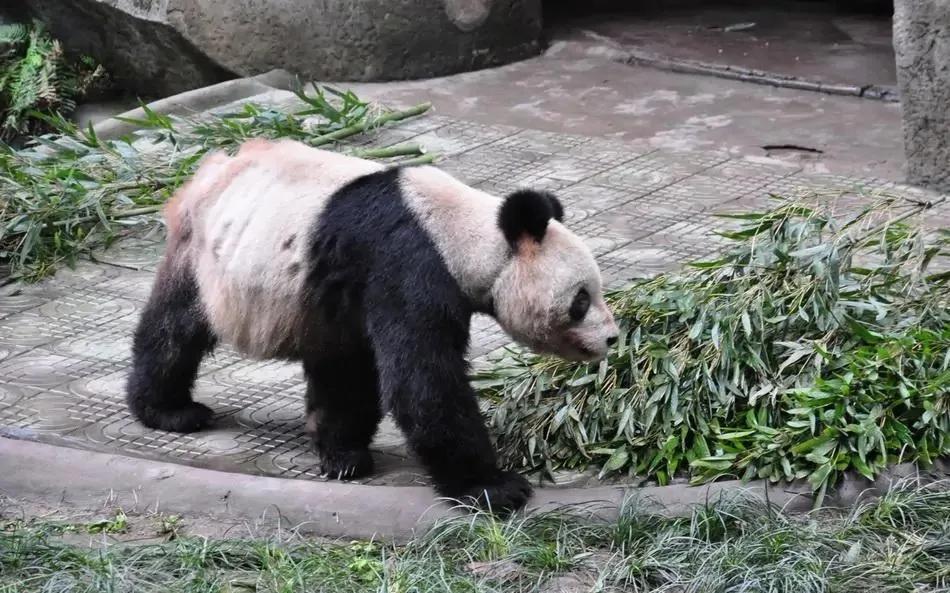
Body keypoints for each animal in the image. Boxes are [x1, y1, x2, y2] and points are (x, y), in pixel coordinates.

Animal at [126, 138, 619, 513]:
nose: (612, 338)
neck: (469, 233)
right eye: (580, 300)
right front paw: (494, 487)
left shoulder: (358, 290)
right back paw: (169, 411)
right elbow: (422, 379)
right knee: (175, 329)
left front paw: (344, 454)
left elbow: (356, 371)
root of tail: (206, 172)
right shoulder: (407, 262)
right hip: (204, 254)